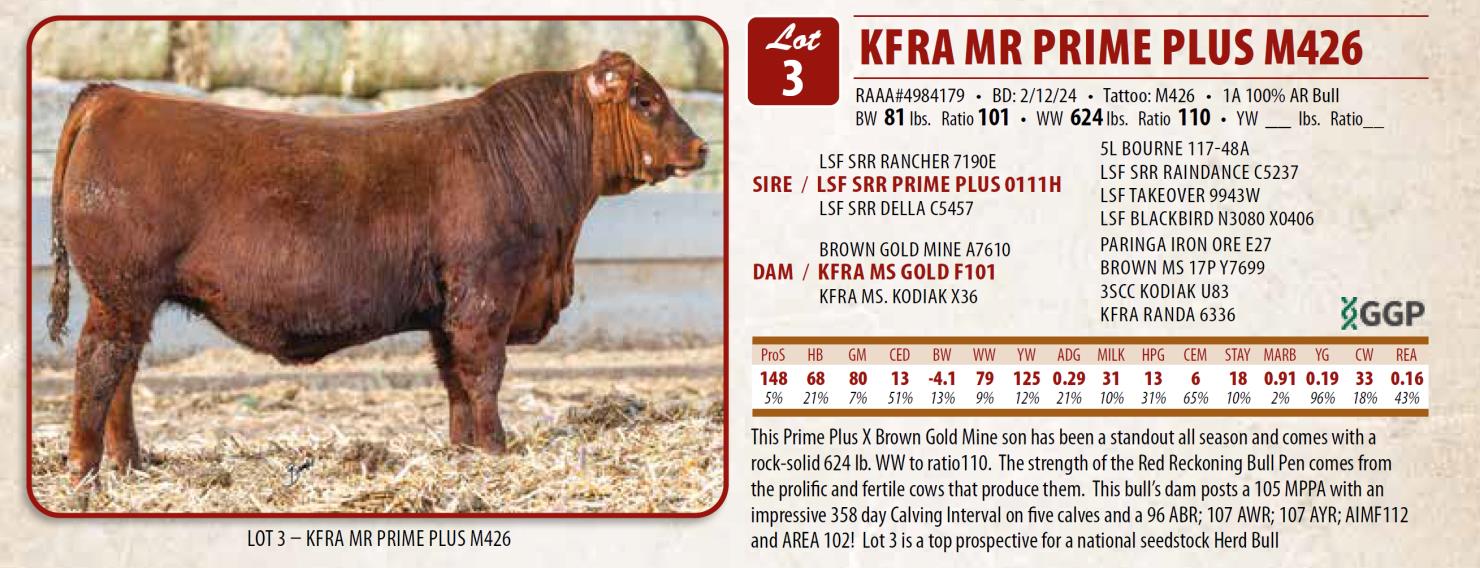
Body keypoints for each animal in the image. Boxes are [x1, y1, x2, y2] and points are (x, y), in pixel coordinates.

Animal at [45, 51, 708, 483]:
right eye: (646, 100)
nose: (702, 147)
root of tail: (115, 95)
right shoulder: (485, 293)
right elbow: (484, 373)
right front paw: (497, 451)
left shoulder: (447, 308)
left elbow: (454, 379)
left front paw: (464, 453)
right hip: (120, 292)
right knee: (99, 365)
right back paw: (84, 472)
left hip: (130, 299)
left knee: (123, 371)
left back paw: (131, 463)